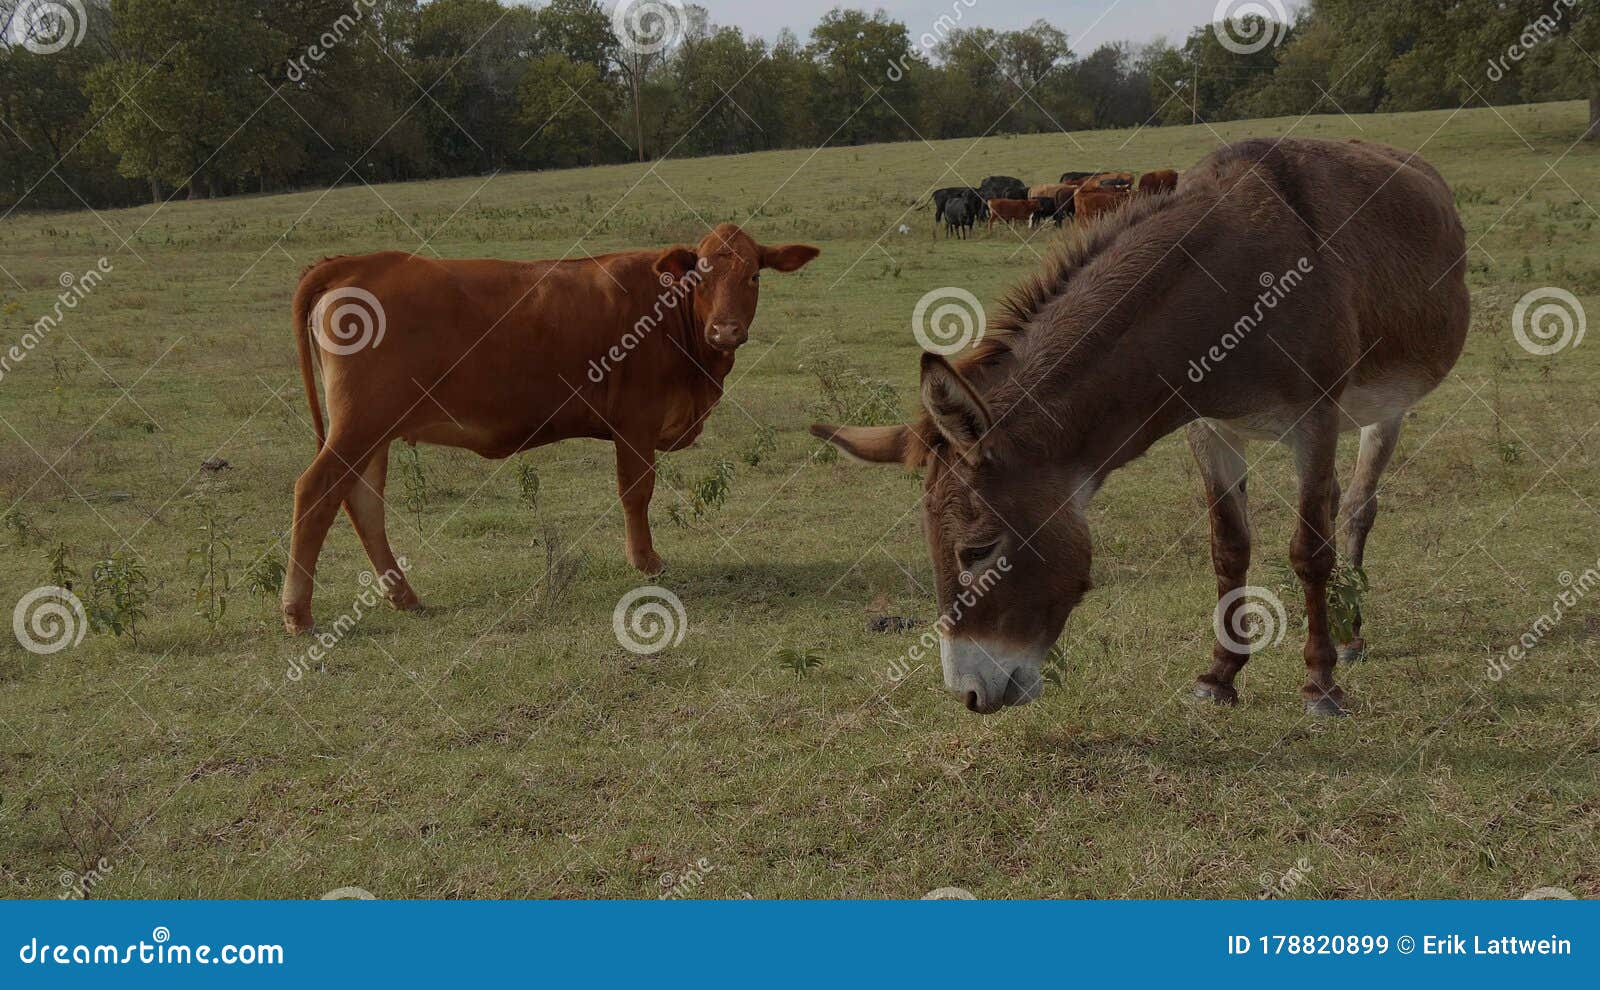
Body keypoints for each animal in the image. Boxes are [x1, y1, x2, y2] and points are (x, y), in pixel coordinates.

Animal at [280, 223, 821, 634]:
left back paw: (403, 595)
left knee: (362, 502)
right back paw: (298, 612)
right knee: (316, 490)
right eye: (700, 279)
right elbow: (637, 491)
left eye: (753, 275)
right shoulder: (636, 422)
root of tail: (356, 262)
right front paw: (645, 560)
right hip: (360, 425)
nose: (725, 330)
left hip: (374, 432)